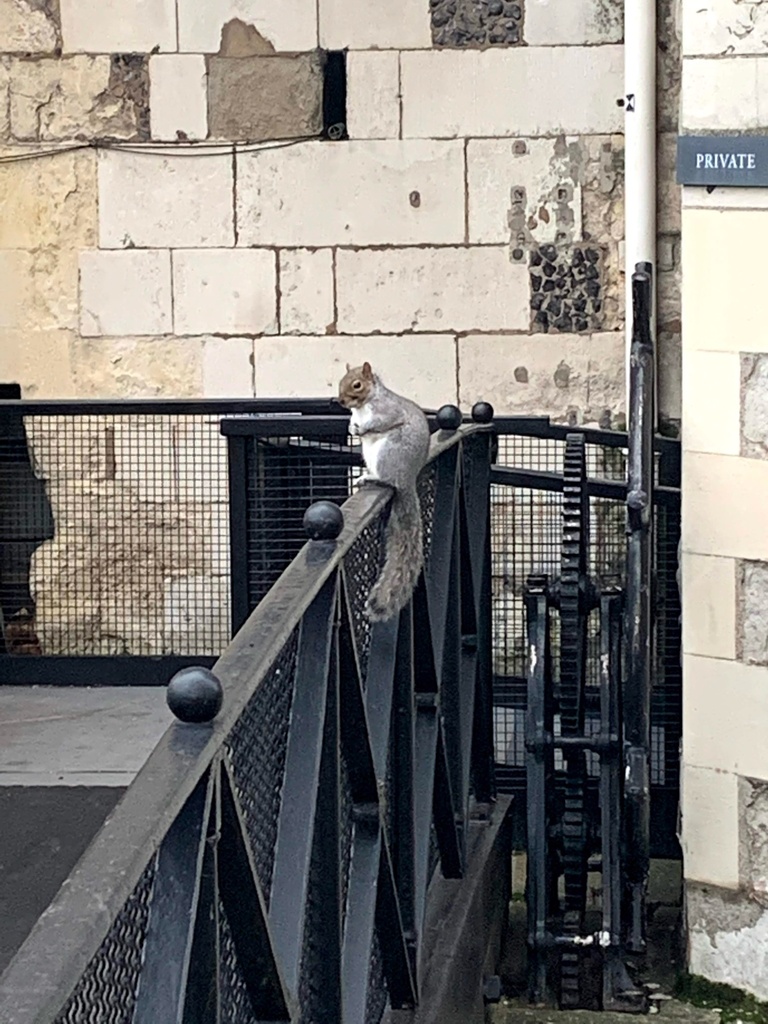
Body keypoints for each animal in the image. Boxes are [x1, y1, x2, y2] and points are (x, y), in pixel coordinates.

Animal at [337, 362, 430, 622]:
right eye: (340, 380)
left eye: (357, 384)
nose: (340, 400)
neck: (362, 407)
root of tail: (407, 478)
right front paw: (351, 427)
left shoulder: (388, 411)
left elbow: (383, 421)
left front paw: (363, 427)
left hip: (388, 452)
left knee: (389, 480)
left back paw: (373, 477)